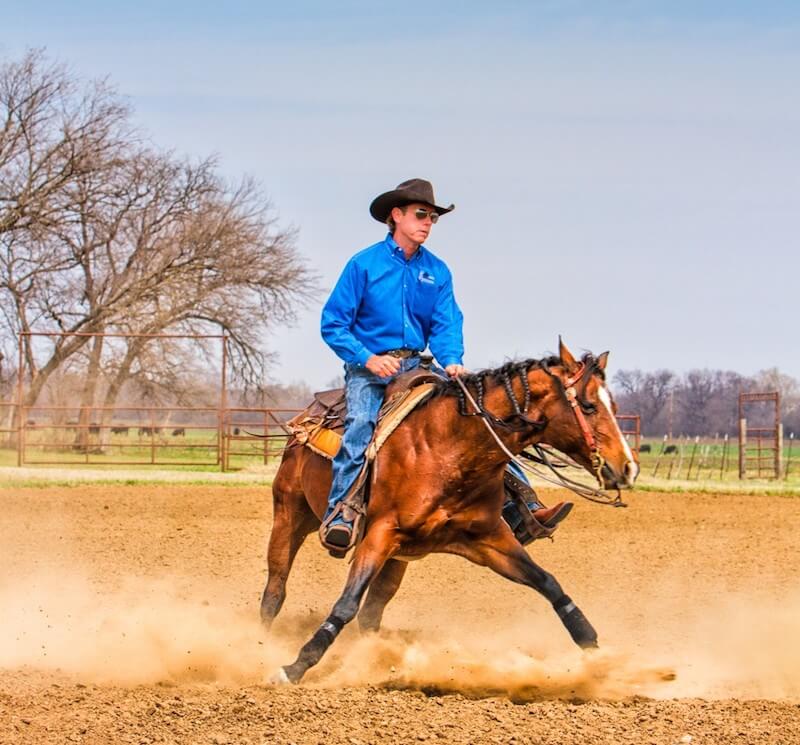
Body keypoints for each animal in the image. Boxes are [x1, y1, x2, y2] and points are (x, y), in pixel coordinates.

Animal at [262, 340, 639, 684]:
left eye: (613, 404)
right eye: (588, 405)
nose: (627, 467)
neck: (447, 450)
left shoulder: (489, 540)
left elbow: (550, 584)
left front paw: (597, 652)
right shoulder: (379, 534)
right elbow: (345, 604)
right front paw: (294, 667)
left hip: (398, 558)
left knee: (372, 613)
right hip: (289, 514)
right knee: (275, 591)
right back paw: (263, 641)